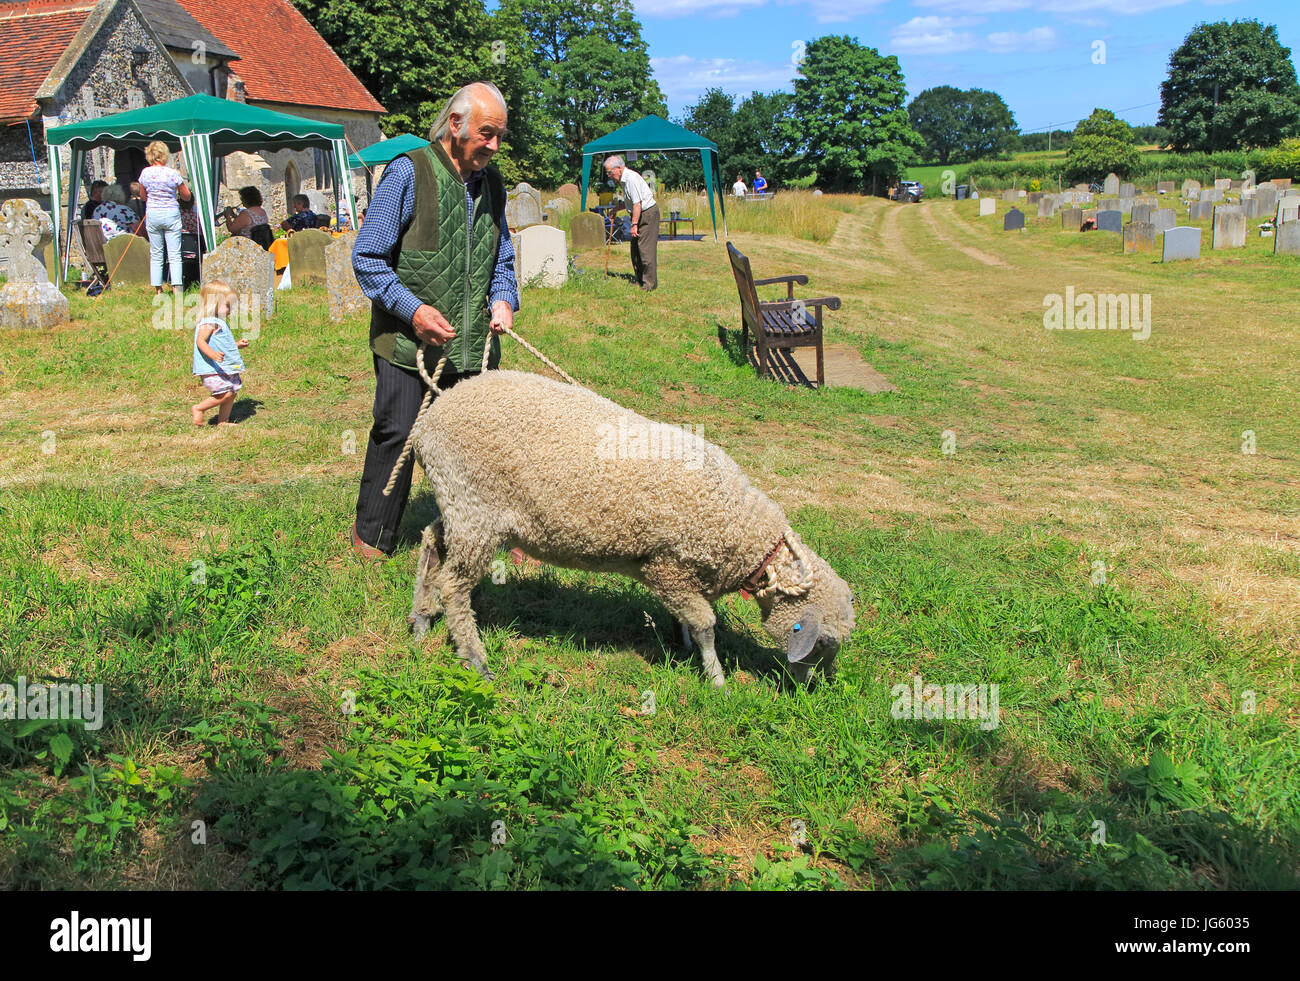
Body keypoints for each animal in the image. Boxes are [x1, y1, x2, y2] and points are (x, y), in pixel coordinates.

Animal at [407, 369, 855, 686]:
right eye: (819, 642)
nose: (809, 689)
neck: (740, 530)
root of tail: (430, 420)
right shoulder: (668, 567)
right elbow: (706, 626)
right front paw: (717, 679)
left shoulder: (682, 577)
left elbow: (687, 620)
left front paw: (684, 645)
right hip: (474, 507)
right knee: (455, 586)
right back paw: (475, 658)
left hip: (460, 504)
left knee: (432, 544)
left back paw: (422, 618)